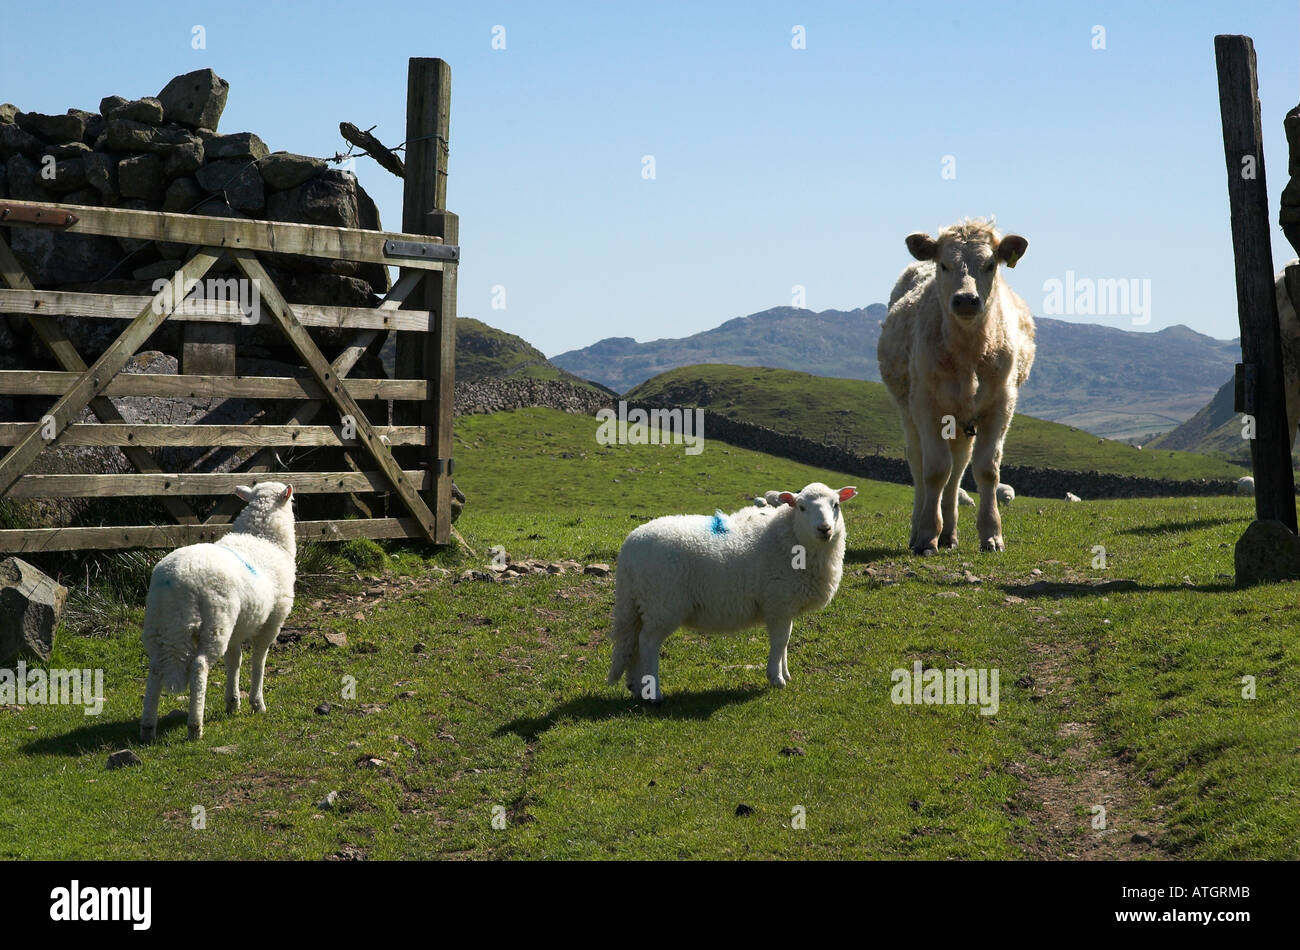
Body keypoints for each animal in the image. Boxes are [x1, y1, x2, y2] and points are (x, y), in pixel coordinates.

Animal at [140, 482, 297, 742]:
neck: (264, 538)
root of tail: (178, 581)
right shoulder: (272, 621)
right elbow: (258, 660)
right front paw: (257, 703)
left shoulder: (237, 628)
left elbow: (234, 660)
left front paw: (233, 703)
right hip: (215, 622)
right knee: (199, 666)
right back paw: (195, 726)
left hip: (158, 623)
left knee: (156, 668)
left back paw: (148, 728)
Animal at [606, 482, 857, 700]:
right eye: (802, 507)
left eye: (836, 504)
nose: (824, 529)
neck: (788, 538)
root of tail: (628, 549)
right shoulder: (777, 602)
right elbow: (780, 640)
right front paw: (776, 678)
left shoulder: (784, 605)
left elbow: (785, 641)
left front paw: (785, 673)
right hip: (663, 604)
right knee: (647, 643)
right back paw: (654, 693)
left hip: (640, 602)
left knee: (634, 642)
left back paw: (637, 687)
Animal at [877, 218, 1035, 555]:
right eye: (944, 264)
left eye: (990, 264)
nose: (965, 299)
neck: (968, 352)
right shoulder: (926, 405)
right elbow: (935, 470)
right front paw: (926, 536)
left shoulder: (1000, 405)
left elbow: (986, 470)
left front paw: (991, 534)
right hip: (909, 413)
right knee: (920, 464)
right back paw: (920, 529)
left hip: (962, 421)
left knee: (958, 468)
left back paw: (949, 533)